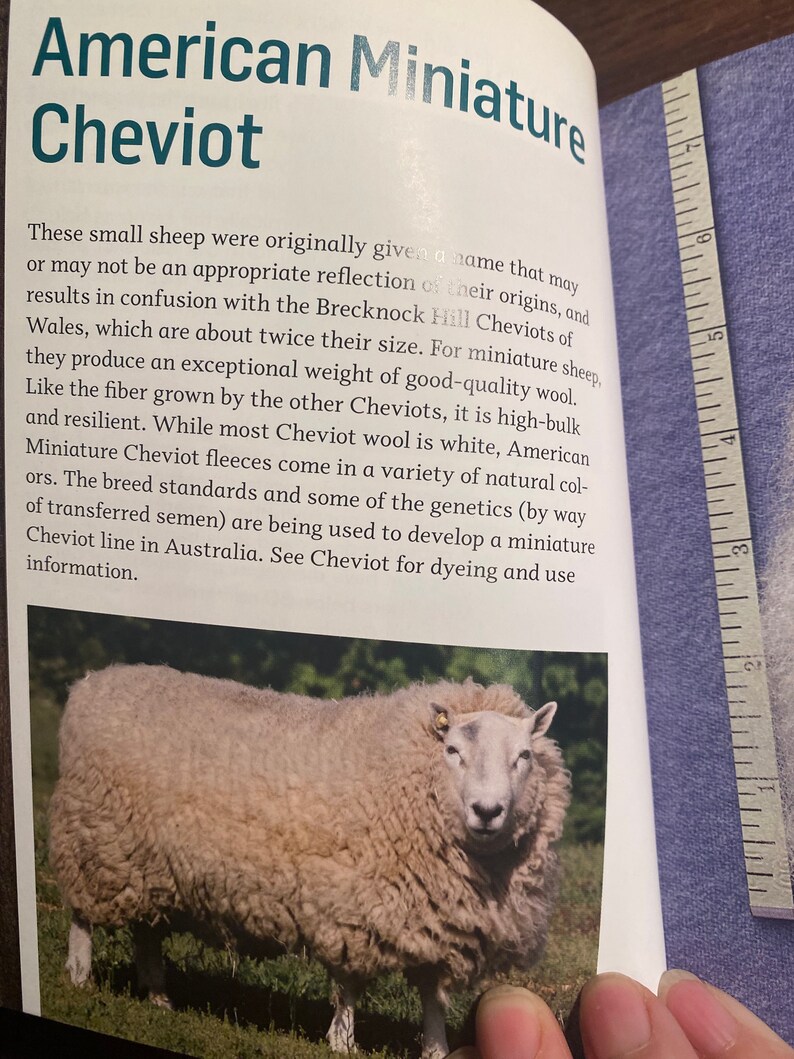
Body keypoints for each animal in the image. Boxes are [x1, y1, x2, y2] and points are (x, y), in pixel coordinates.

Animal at [49, 665, 570, 1059]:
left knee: (146, 929)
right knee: (83, 916)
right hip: (93, 839)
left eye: (524, 756)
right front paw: (342, 1042)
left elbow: (431, 997)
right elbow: (349, 983)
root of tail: (92, 682)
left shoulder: (434, 923)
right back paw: (79, 978)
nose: (487, 810)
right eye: (453, 751)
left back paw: (157, 997)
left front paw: (436, 1049)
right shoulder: (351, 907)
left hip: (147, 863)